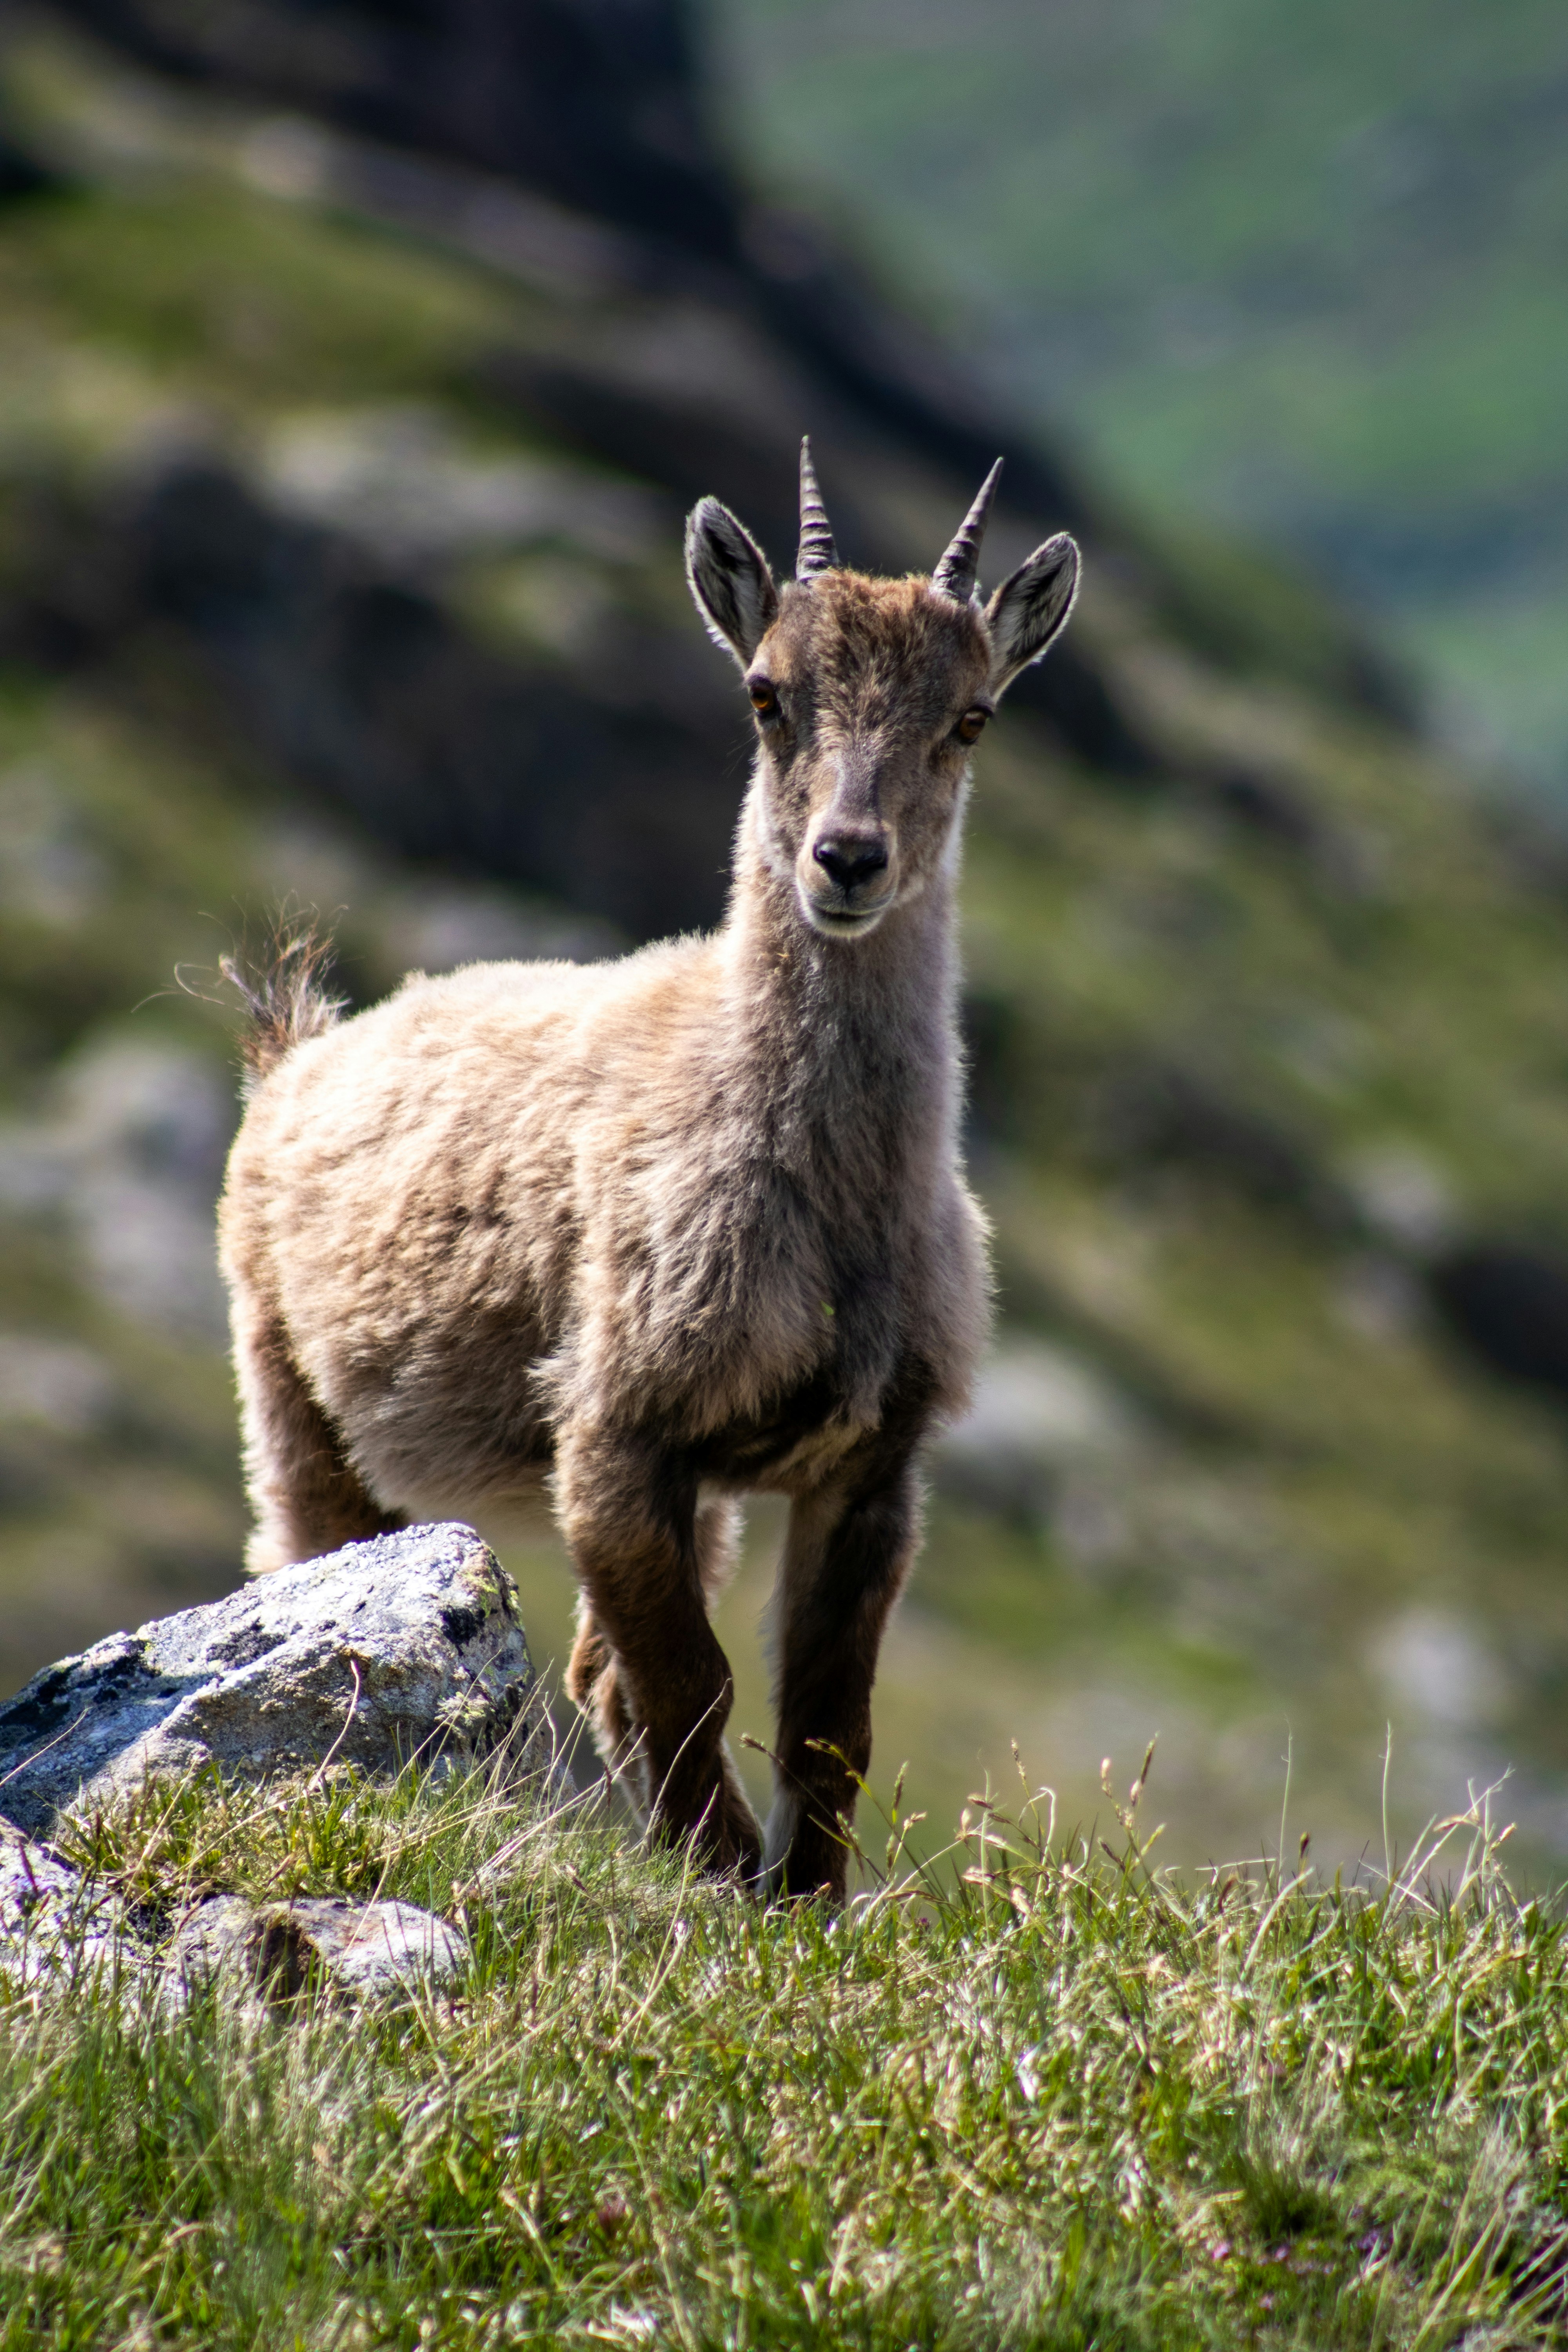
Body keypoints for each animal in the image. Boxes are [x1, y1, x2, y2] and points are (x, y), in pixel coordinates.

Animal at [218, 445, 1079, 1899]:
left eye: (971, 717)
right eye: (766, 693)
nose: (847, 859)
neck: (825, 1193)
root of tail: (292, 1050)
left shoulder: (871, 1465)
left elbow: (826, 1721)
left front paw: (805, 1903)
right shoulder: (615, 1432)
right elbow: (690, 1688)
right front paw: (729, 1893)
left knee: (594, 1674)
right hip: (291, 1398)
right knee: (302, 1561)